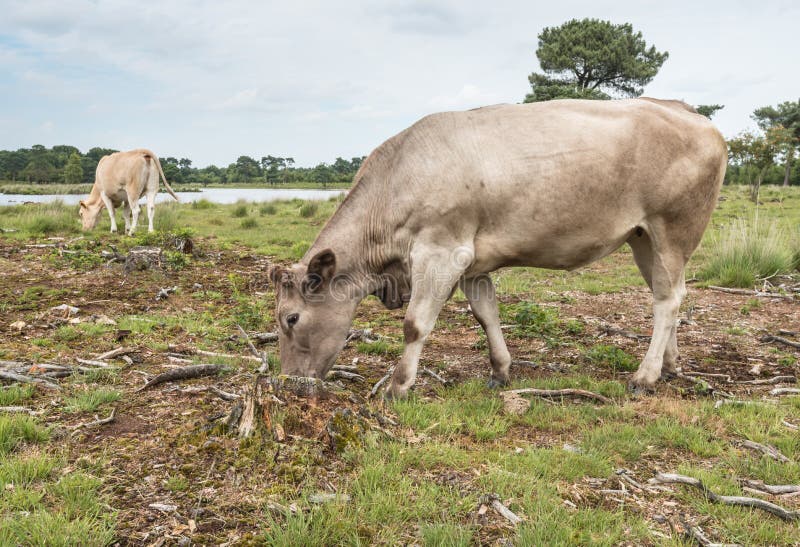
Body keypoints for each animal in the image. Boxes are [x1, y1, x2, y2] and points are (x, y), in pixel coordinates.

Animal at [269, 98, 727, 399]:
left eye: (291, 318)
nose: (289, 383)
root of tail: (686, 111)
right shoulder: (471, 262)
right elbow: (486, 314)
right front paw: (501, 371)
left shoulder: (440, 251)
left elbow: (415, 323)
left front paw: (399, 385)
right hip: (644, 238)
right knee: (665, 295)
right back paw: (668, 366)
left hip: (673, 229)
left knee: (669, 299)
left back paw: (644, 377)